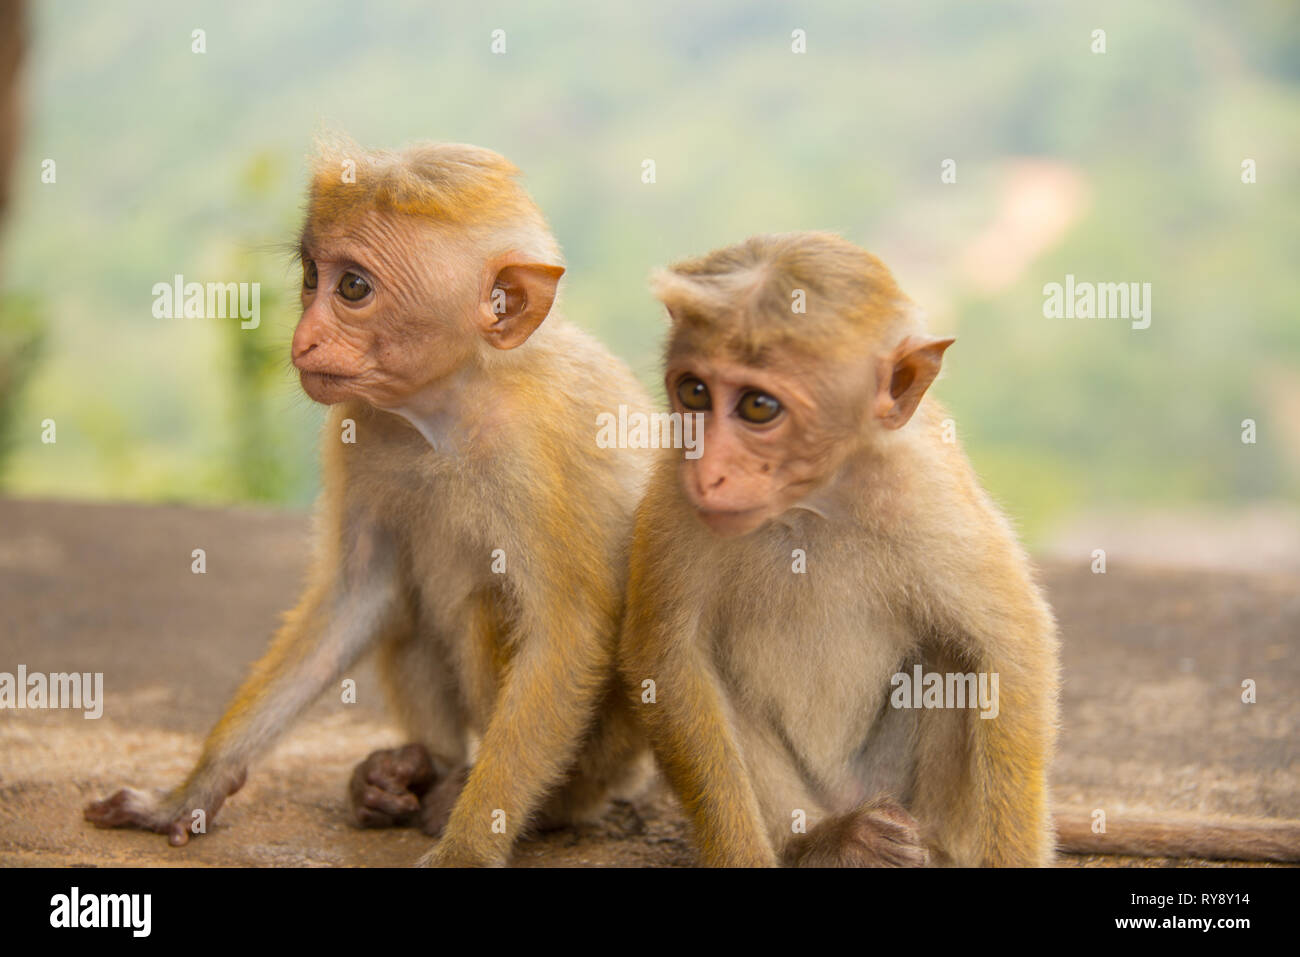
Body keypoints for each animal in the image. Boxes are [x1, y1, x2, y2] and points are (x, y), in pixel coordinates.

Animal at [85, 137, 652, 866]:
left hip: (609, 749)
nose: (302, 339)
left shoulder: (538, 452)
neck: (450, 403)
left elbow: (566, 633)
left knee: (485, 608)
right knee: (408, 612)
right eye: (311, 274)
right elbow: (356, 595)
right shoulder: (359, 423)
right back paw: (406, 777)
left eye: (353, 288)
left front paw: (468, 847)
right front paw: (190, 791)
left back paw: (528, 803)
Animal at [618, 231, 1061, 867]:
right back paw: (831, 841)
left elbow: (1009, 644)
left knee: (954, 657)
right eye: (694, 392)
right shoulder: (678, 498)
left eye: (758, 407)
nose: (709, 472)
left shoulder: (925, 489)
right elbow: (670, 662)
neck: (811, 505)